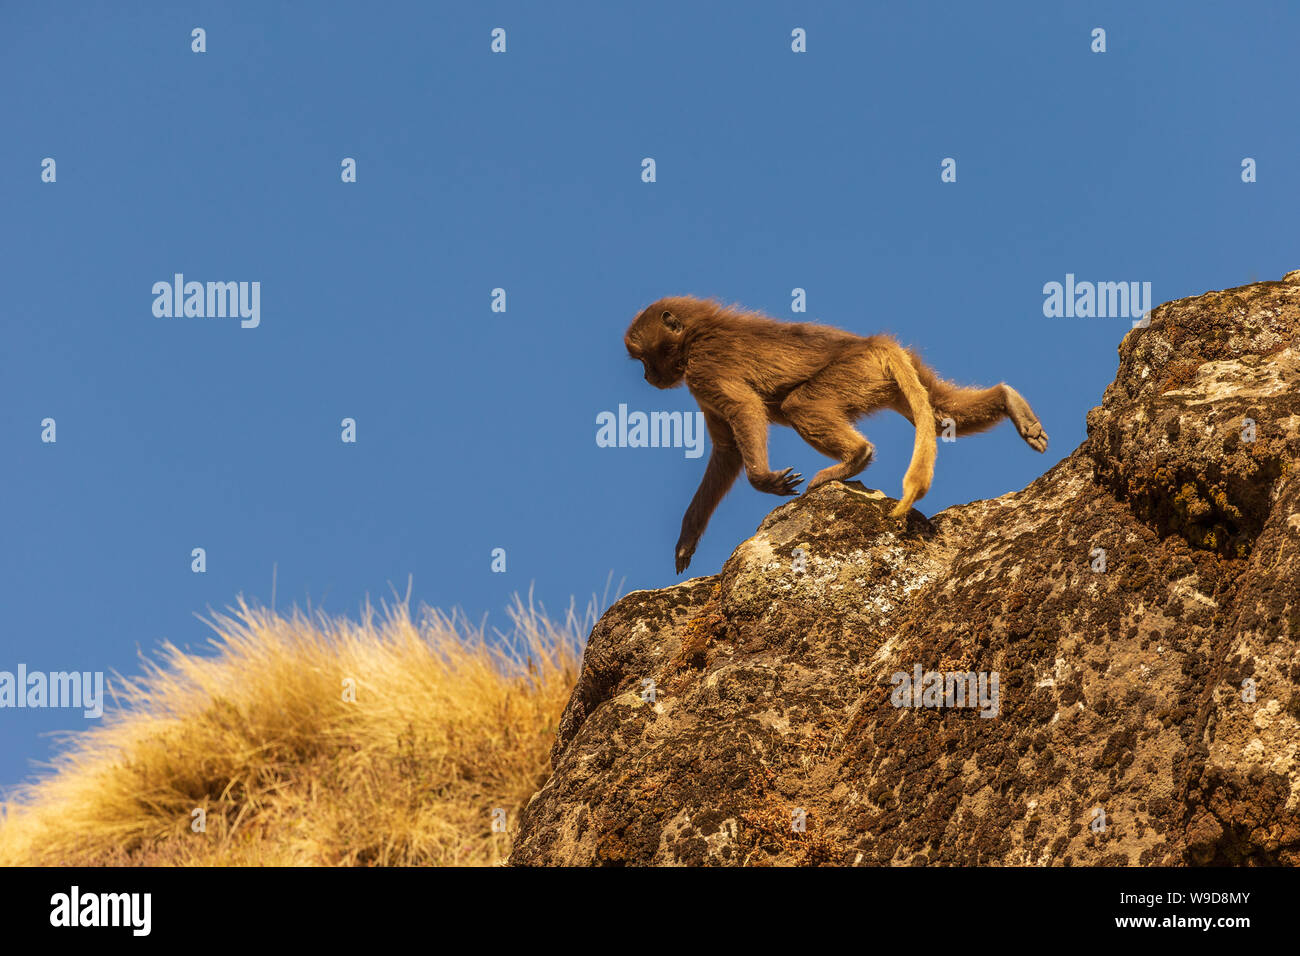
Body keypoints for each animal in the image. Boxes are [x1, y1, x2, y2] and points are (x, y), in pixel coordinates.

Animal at [624, 296, 1048, 573]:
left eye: (645, 358)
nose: (646, 376)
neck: (695, 335)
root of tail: (875, 344)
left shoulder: (704, 370)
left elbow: (745, 410)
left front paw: (766, 480)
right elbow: (727, 450)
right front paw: (686, 540)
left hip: (850, 373)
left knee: (799, 406)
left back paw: (853, 459)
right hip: (896, 375)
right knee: (943, 410)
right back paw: (1012, 403)